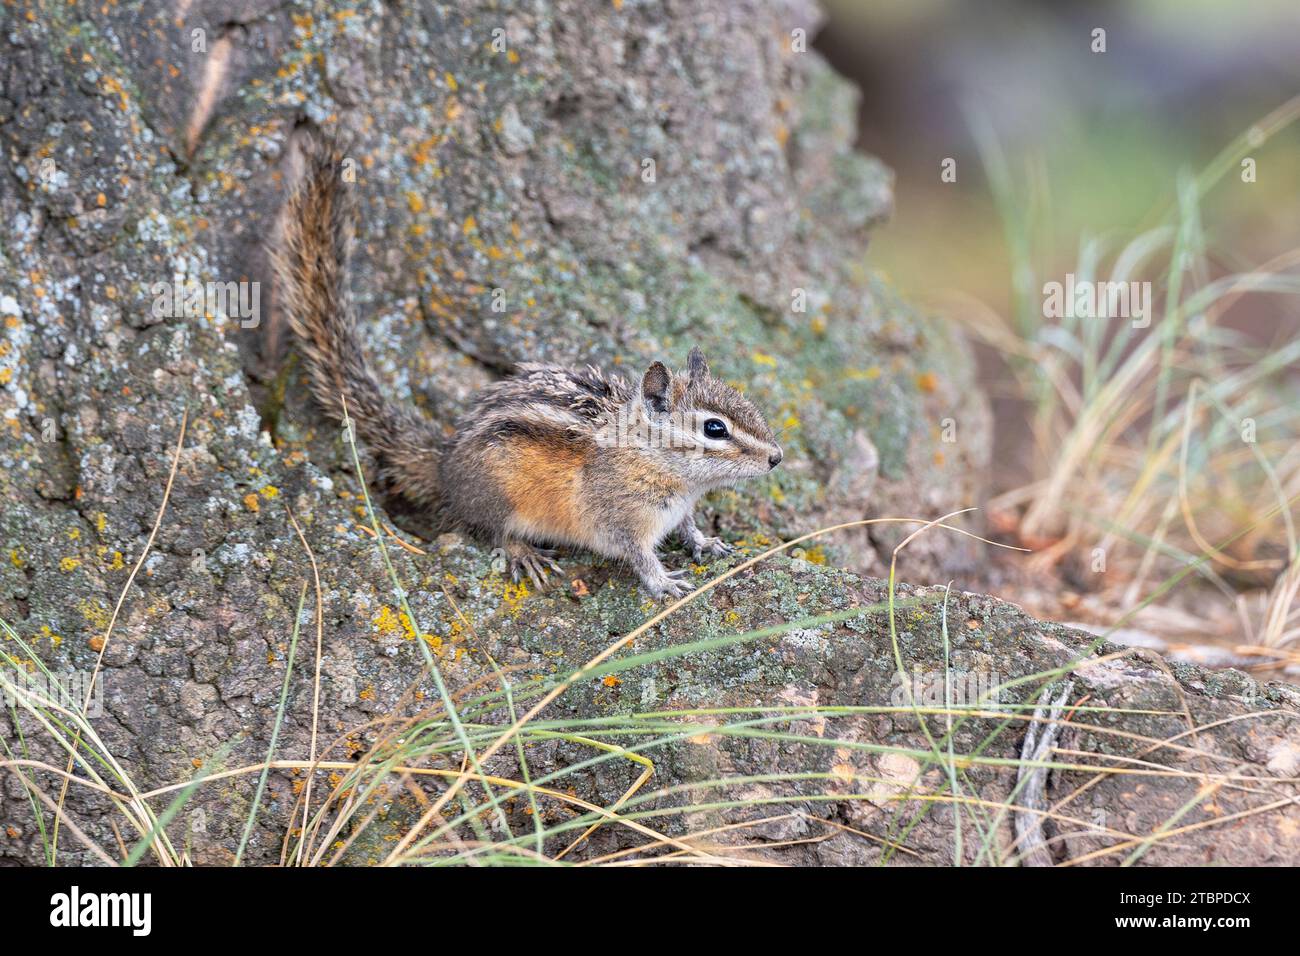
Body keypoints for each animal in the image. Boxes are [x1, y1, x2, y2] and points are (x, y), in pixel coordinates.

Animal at [271, 138, 783, 598]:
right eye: (714, 429)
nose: (776, 457)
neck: (650, 458)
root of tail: (444, 462)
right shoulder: (619, 518)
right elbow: (637, 555)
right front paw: (663, 582)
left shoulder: (681, 508)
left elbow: (688, 526)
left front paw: (707, 542)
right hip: (500, 499)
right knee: (490, 530)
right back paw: (523, 552)